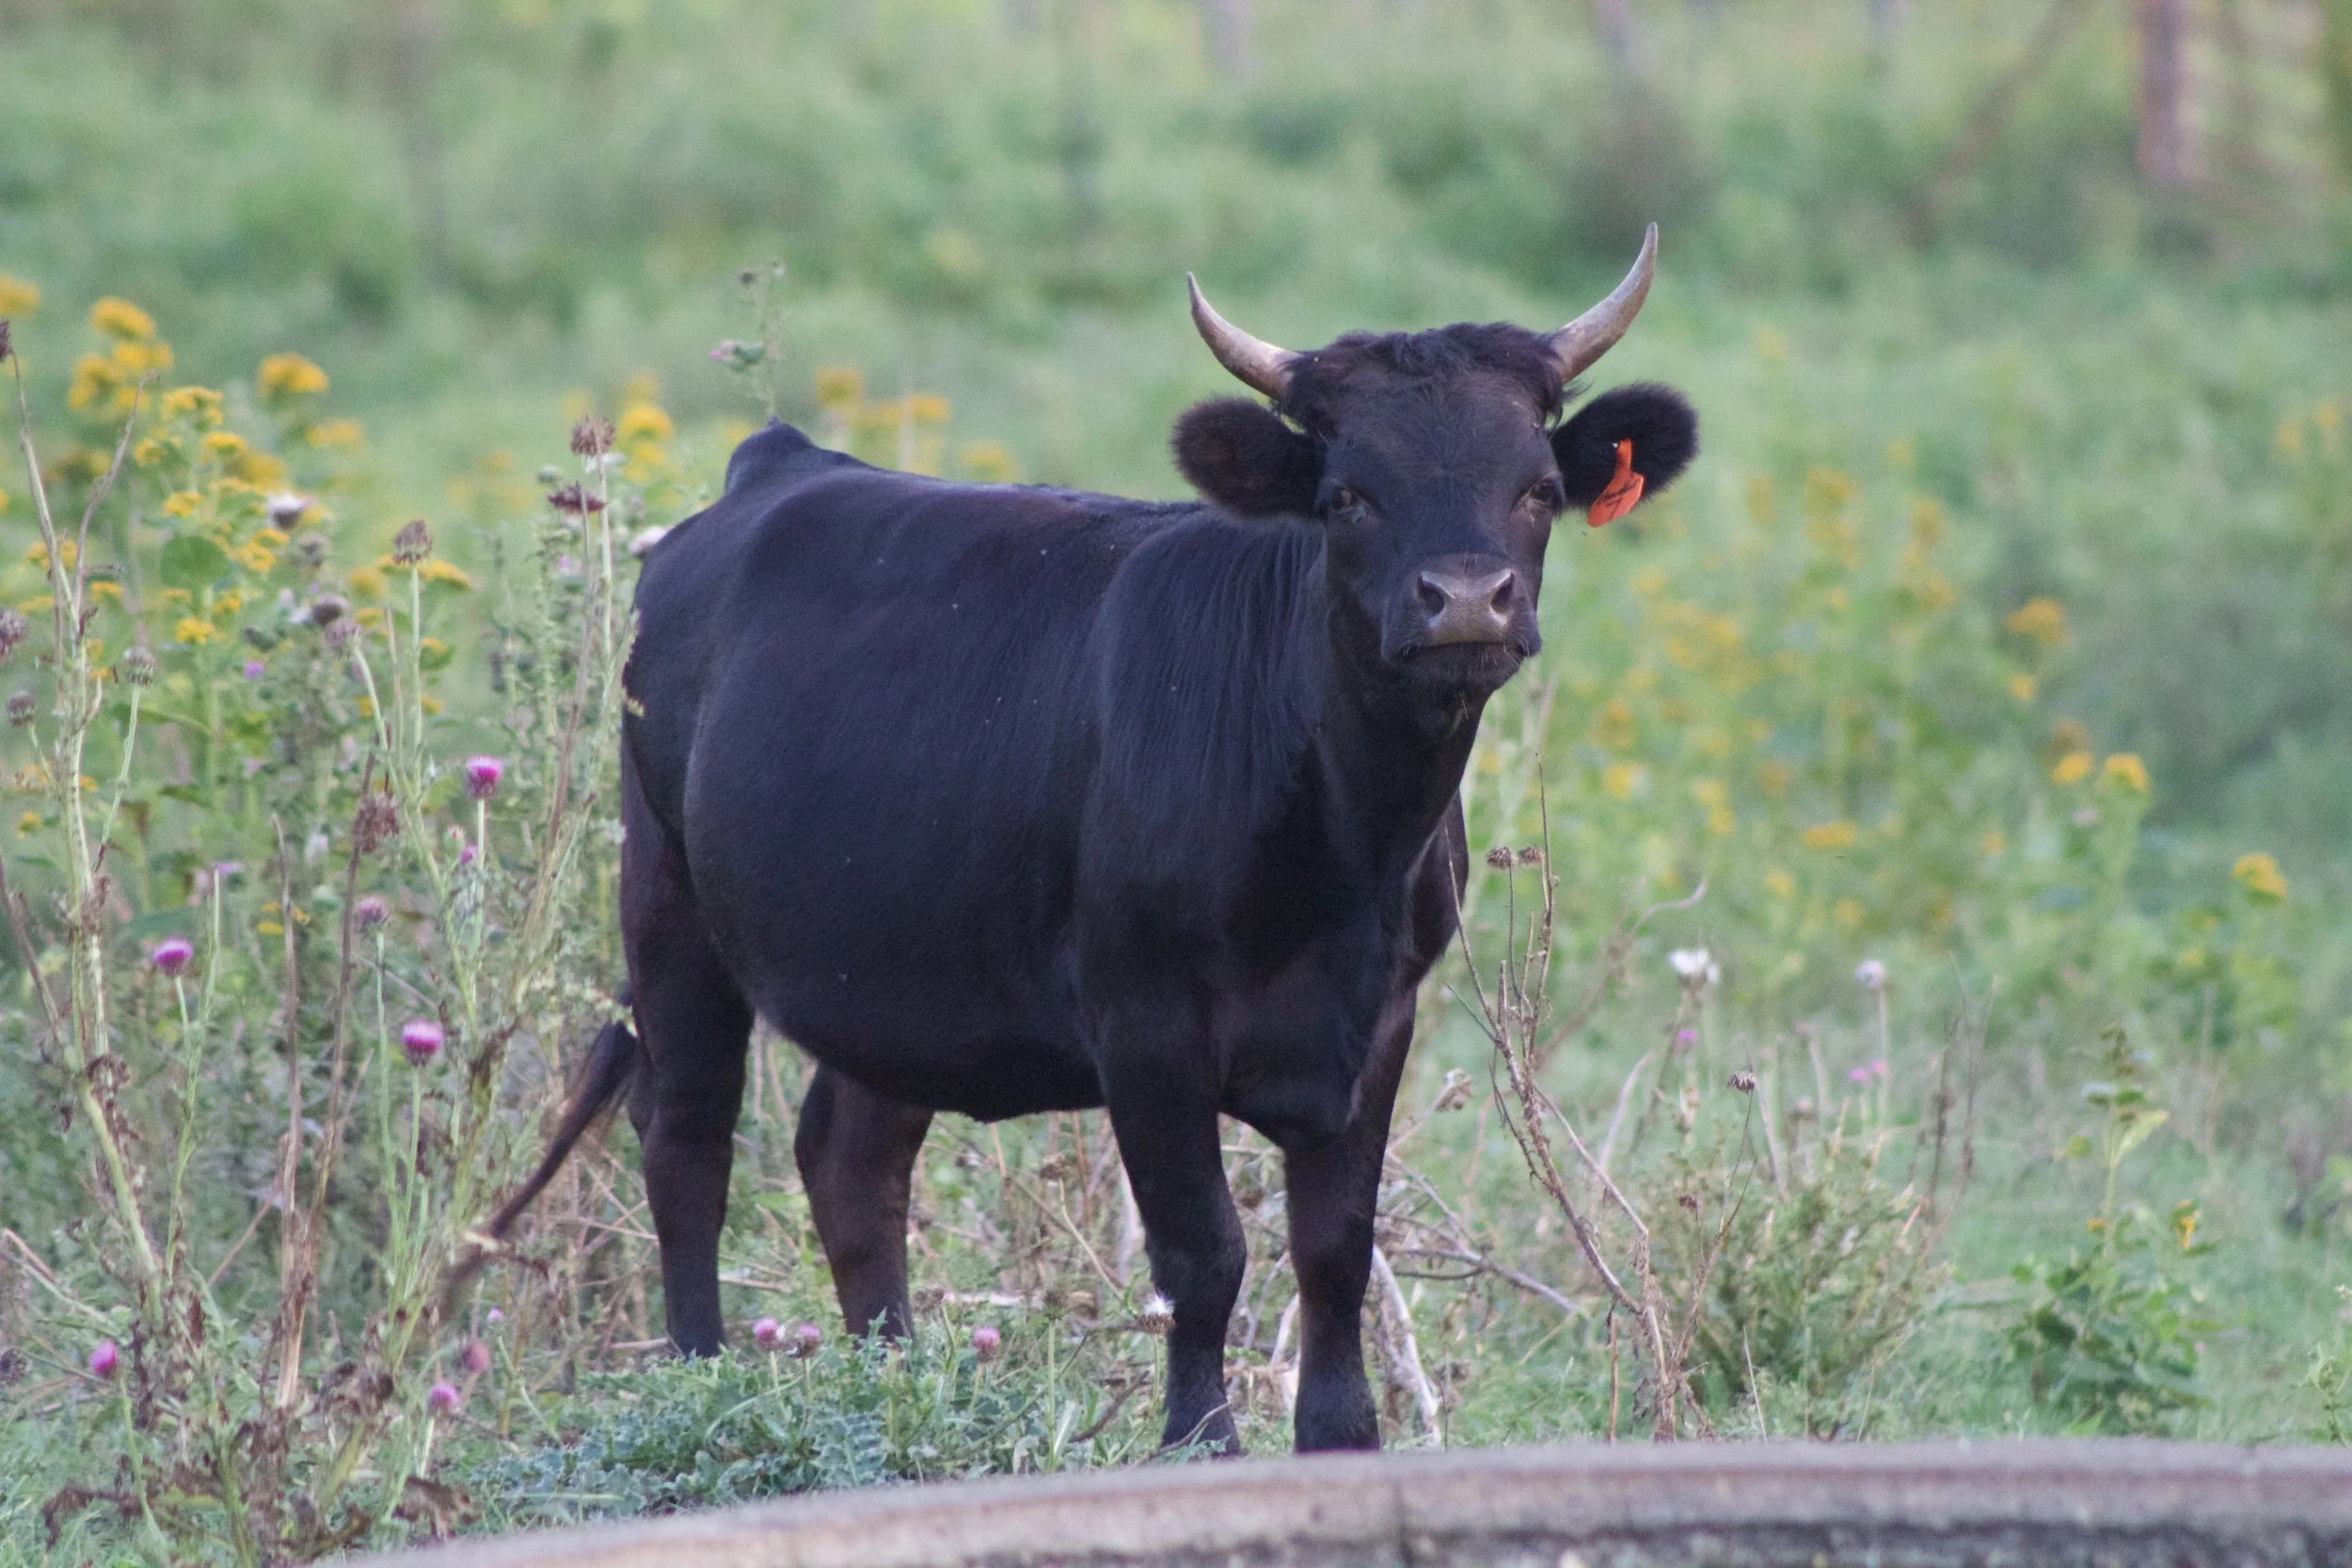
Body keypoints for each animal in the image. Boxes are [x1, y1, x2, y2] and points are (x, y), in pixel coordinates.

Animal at [479, 228, 1696, 1454]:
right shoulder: (1144, 1020)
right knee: (687, 1133)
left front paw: (1339, 1430)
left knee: (849, 1154)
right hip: (666, 900)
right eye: (1347, 495)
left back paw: (894, 1382)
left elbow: (1335, 1247)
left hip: (897, 963)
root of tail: (777, 463)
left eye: (1538, 488)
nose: (1466, 601)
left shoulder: (1379, 1020)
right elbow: (1205, 1252)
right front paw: (1199, 1436)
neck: (1343, 853)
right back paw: (702, 1371)